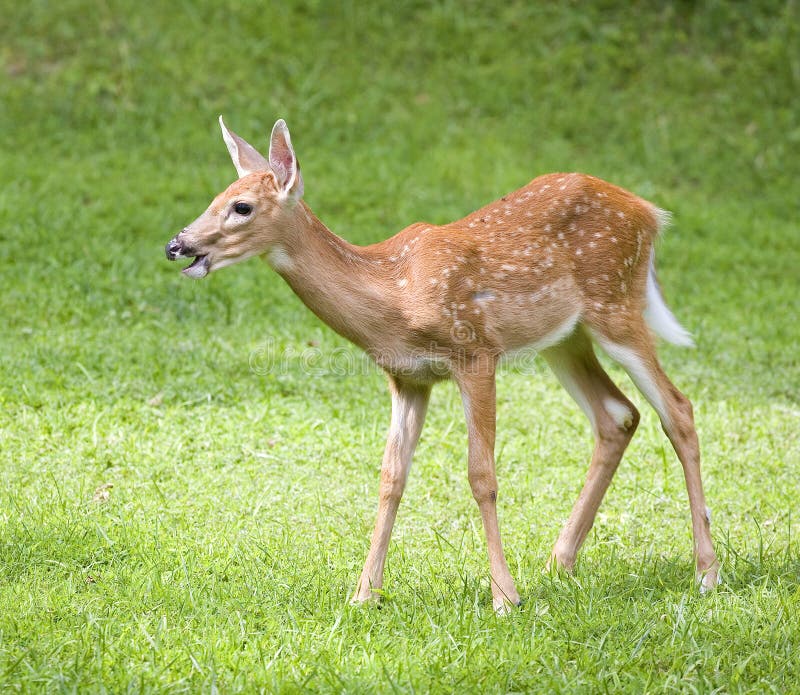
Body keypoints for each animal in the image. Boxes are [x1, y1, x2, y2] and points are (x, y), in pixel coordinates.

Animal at [164, 117, 720, 612]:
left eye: (241, 206)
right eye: (214, 197)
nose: (177, 244)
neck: (394, 293)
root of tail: (650, 212)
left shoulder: (476, 352)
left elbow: (481, 475)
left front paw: (504, 598)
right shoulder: (407, 377)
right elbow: (391, 475)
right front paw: (364, 594)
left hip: (616, 305)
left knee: (678, 409)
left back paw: (706, 572)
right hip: (564, 337)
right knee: (618, 414)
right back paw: (559, 562)